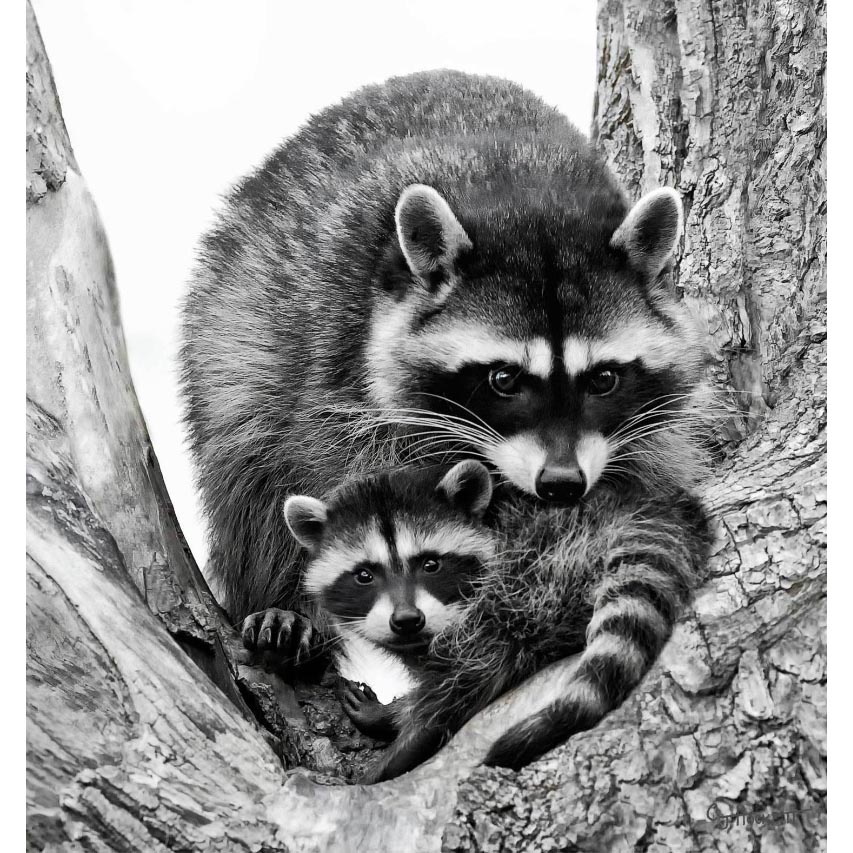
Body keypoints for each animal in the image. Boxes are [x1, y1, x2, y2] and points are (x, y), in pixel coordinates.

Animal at [181, 70, 711, 775]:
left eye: (603, 379)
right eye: (503, 380)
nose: (561, 485)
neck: (524, 196)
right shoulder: (336, 362)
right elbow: (336, 480)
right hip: (239, 319)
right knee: (246, 455)